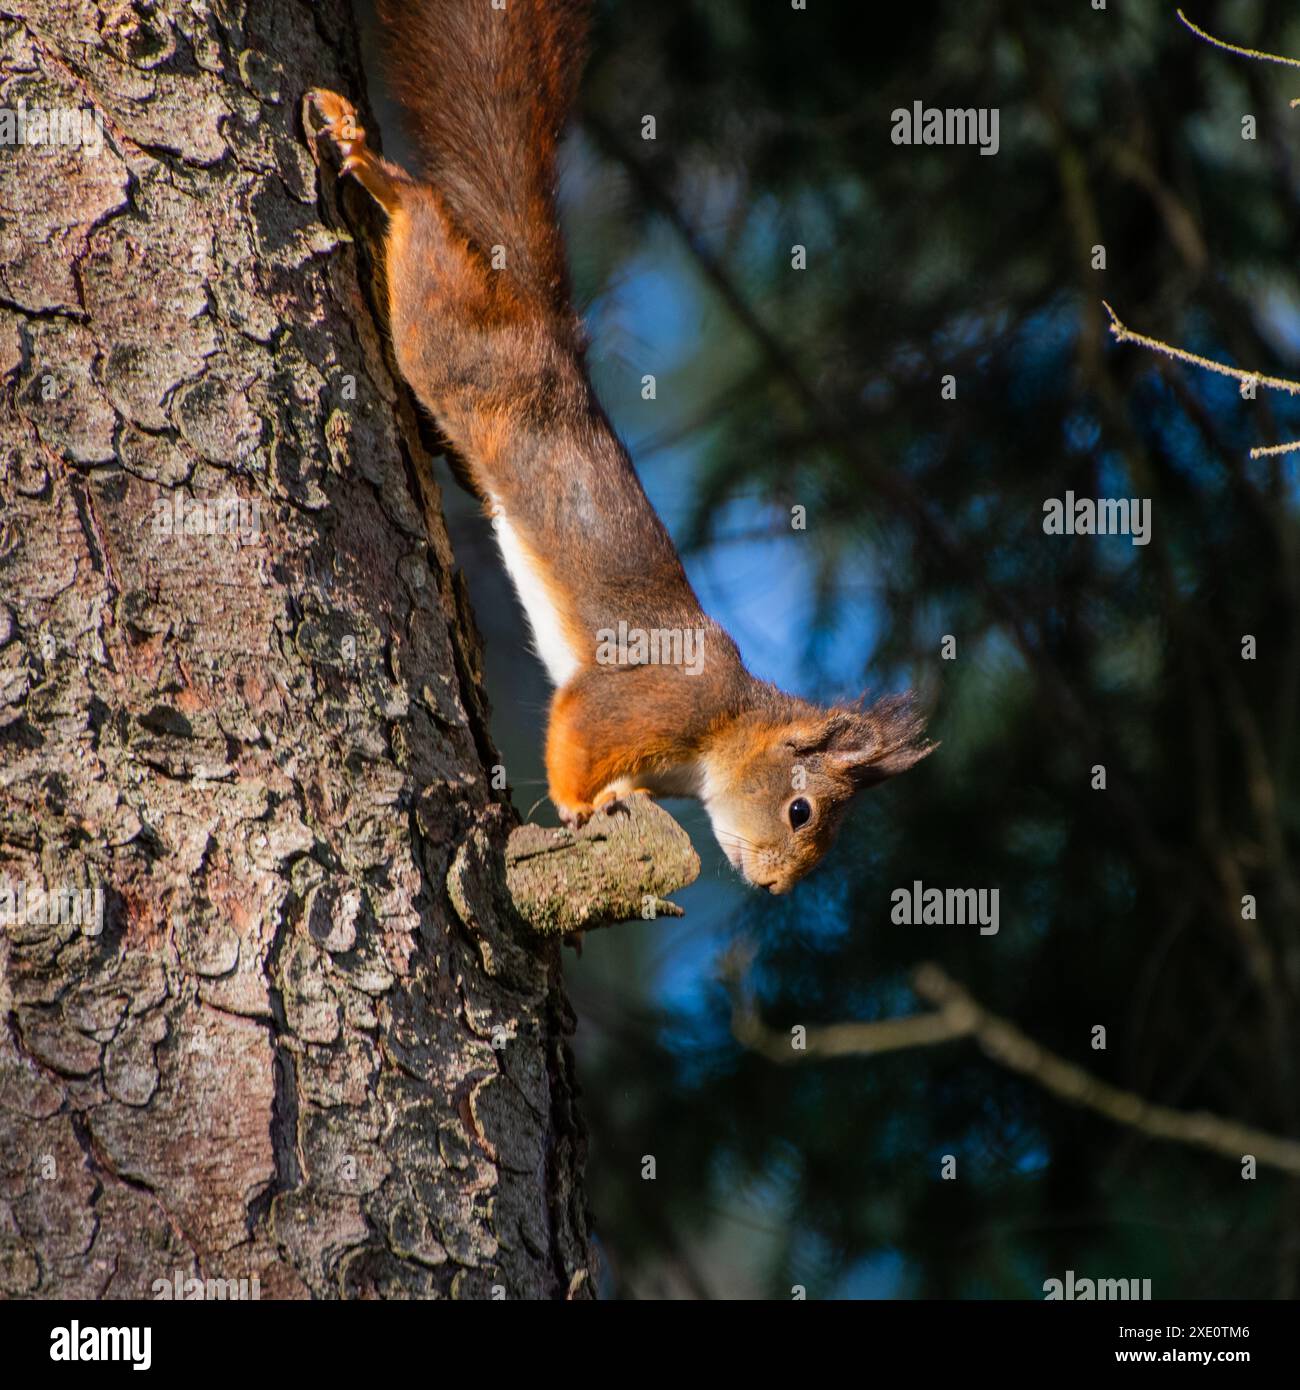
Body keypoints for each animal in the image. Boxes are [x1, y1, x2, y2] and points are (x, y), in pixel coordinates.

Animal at [309, 0, 933, 895]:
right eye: (800, 810)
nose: (777, 888)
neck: (723, 730)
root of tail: (546, 333)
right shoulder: (644, 701)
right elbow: (577, 724)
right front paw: (580, 807)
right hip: (456, 348)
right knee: (425, 232)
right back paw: (373, 164)